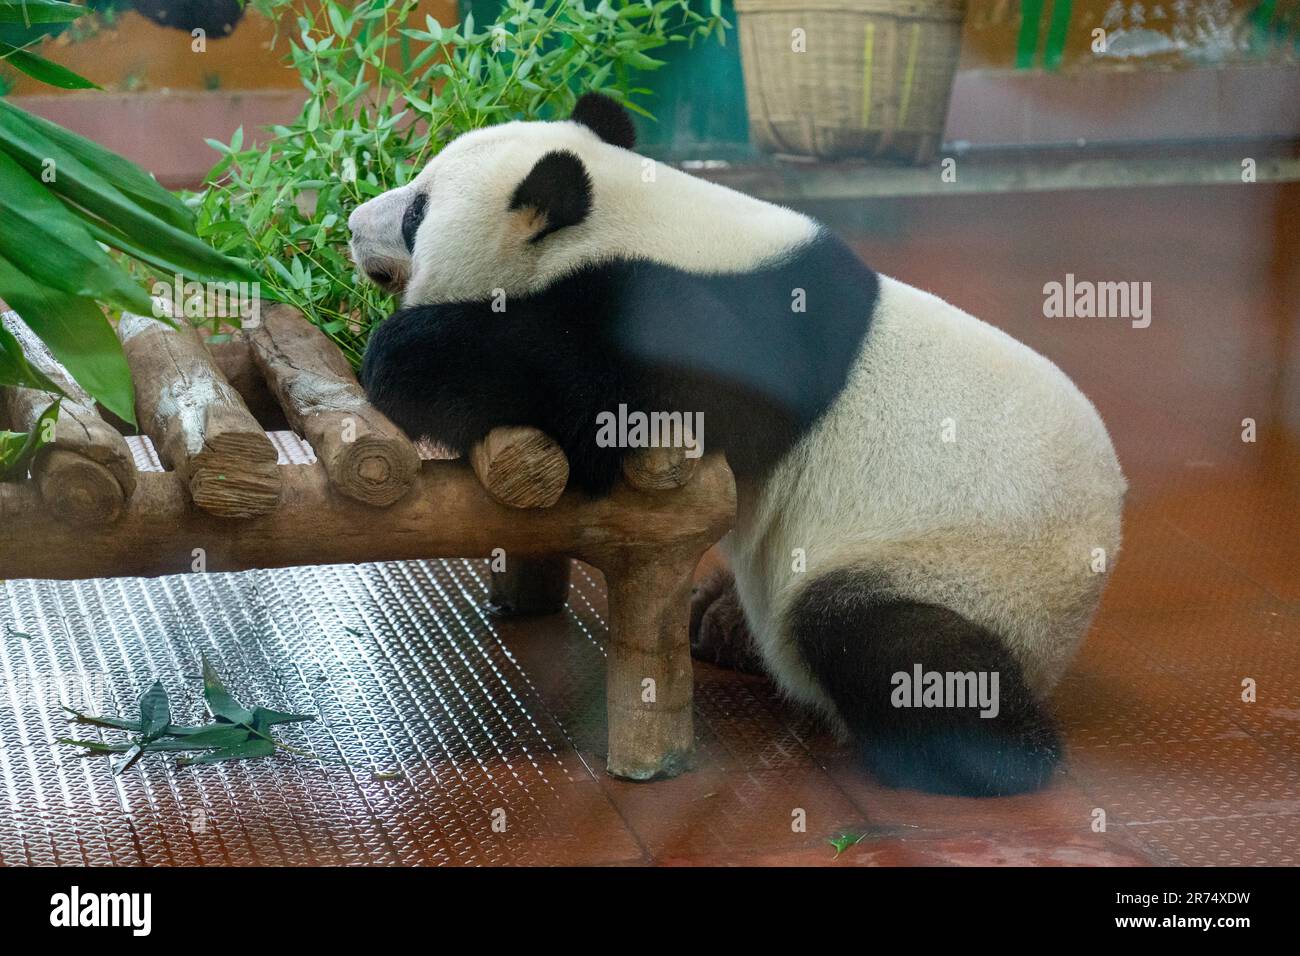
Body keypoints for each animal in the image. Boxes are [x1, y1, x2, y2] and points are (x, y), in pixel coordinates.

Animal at [349, 93, 1127, 797]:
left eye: (417, 213)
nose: (354, 225)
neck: (641, 217)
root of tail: (1068, 633)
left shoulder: (715, 331)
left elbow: (591, 397)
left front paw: (404, 356)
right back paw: (715, 619)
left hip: (956, 568)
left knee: (885, 646)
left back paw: (985, 754)